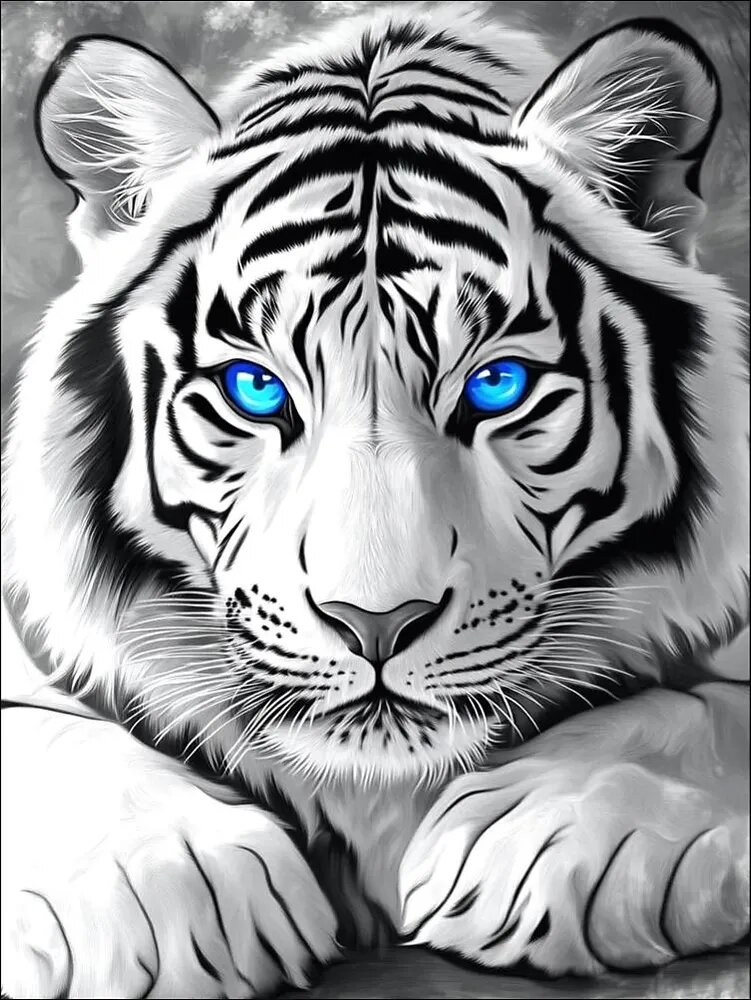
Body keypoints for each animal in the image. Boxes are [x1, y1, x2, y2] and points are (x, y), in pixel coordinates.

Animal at [1, 6, 748, 998]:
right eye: (253, 389)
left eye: (498, 384)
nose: (376, 624)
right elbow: (44, 733)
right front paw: (164, 887)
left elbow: (711, 708)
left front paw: (547, 834)